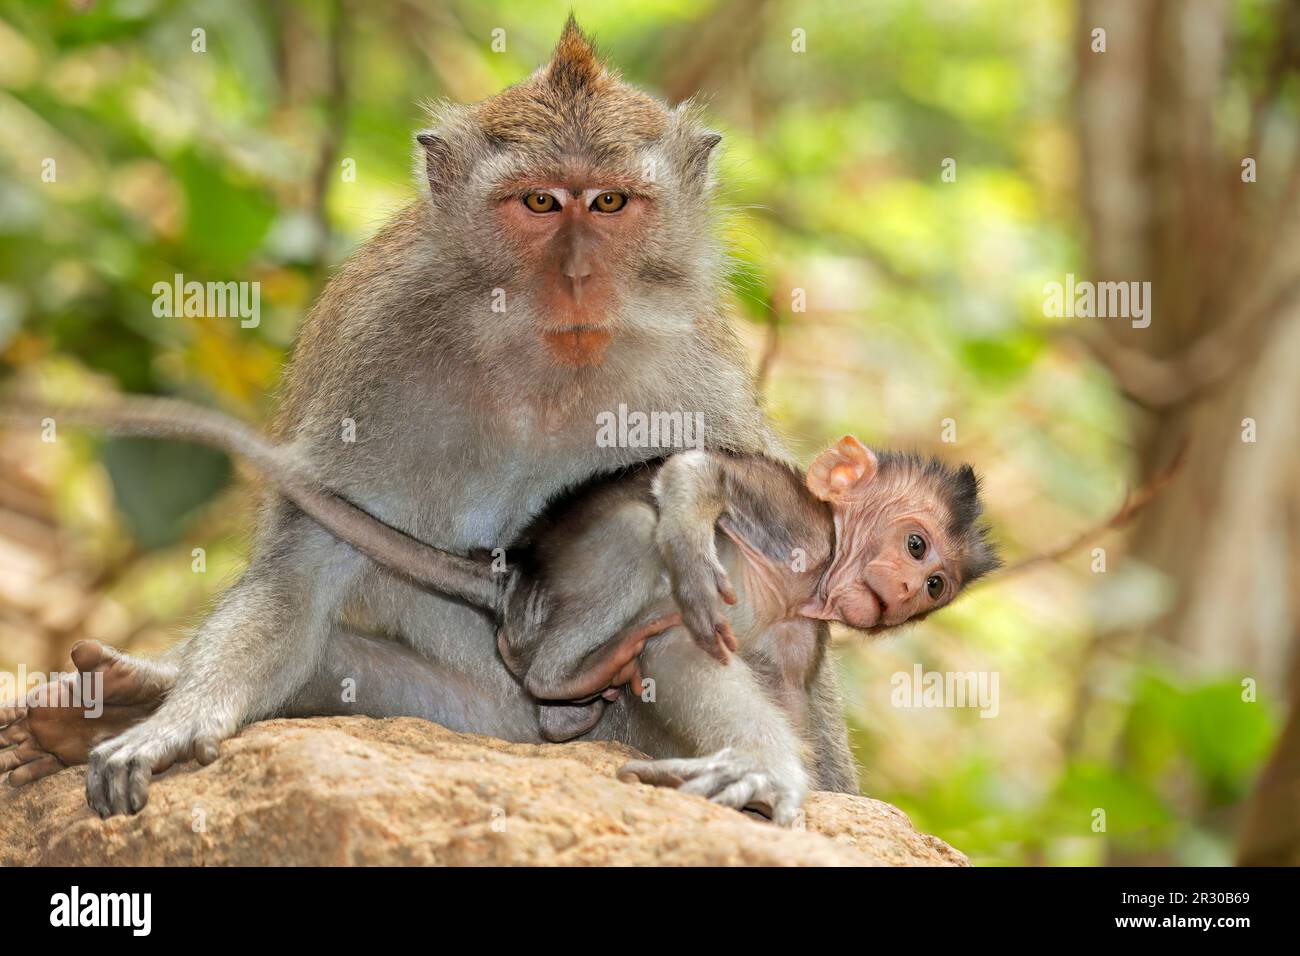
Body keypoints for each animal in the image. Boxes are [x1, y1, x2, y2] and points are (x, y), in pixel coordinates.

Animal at [0, 18, 864, 818]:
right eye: (540, 202)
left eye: (611, 201)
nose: (578, 276)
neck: (539, 370)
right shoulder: (374, 352)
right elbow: (303, 568)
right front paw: (177, 722)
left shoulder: (703, 379)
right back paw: (116, 699)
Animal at [1, 393, 997, 823]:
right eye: (915, 545)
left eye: (937, 584)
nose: (901, 591)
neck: (810, 579)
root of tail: (510, 578)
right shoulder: (788, 516)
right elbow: (688, 497)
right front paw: (761, 769)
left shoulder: (804, 635)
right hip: (550, 615)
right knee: (641, 560)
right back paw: (574, 675)